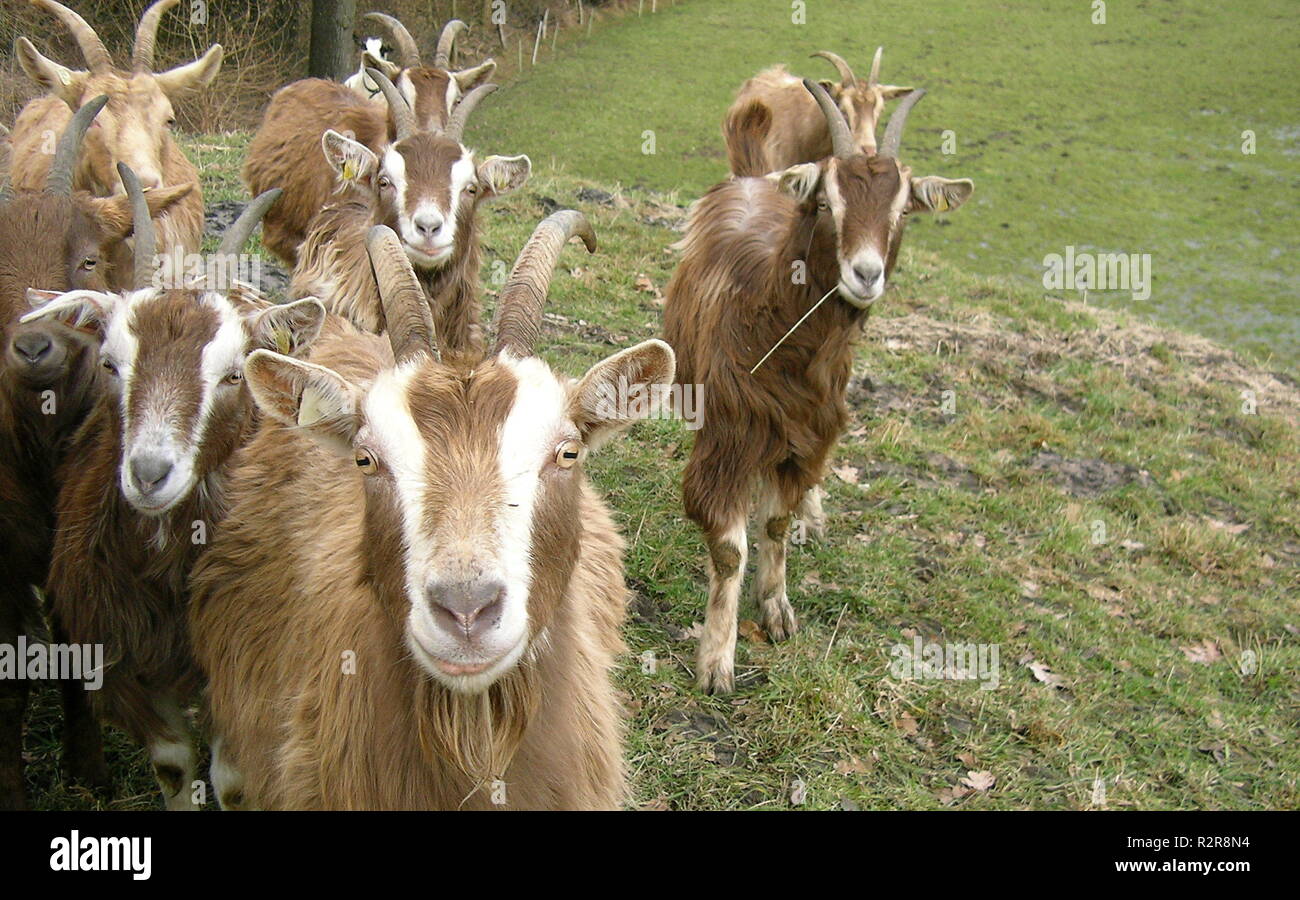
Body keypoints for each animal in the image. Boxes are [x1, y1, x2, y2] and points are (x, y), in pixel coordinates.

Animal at [22, 167, 325, 809]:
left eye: (234, 374)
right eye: (110, 364)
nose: (149, 474)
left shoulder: (240, 665)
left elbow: (233, 780)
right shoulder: (127, 660)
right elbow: (171, 764)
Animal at [664, 81, 973, 693]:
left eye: (904, 209)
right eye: (827, 203)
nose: (866, 274)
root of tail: (753, 176)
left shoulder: (807, 434)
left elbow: (776, 523)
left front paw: (776, 607)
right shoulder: (728, 438)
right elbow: (729, 550)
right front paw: (717, 660)